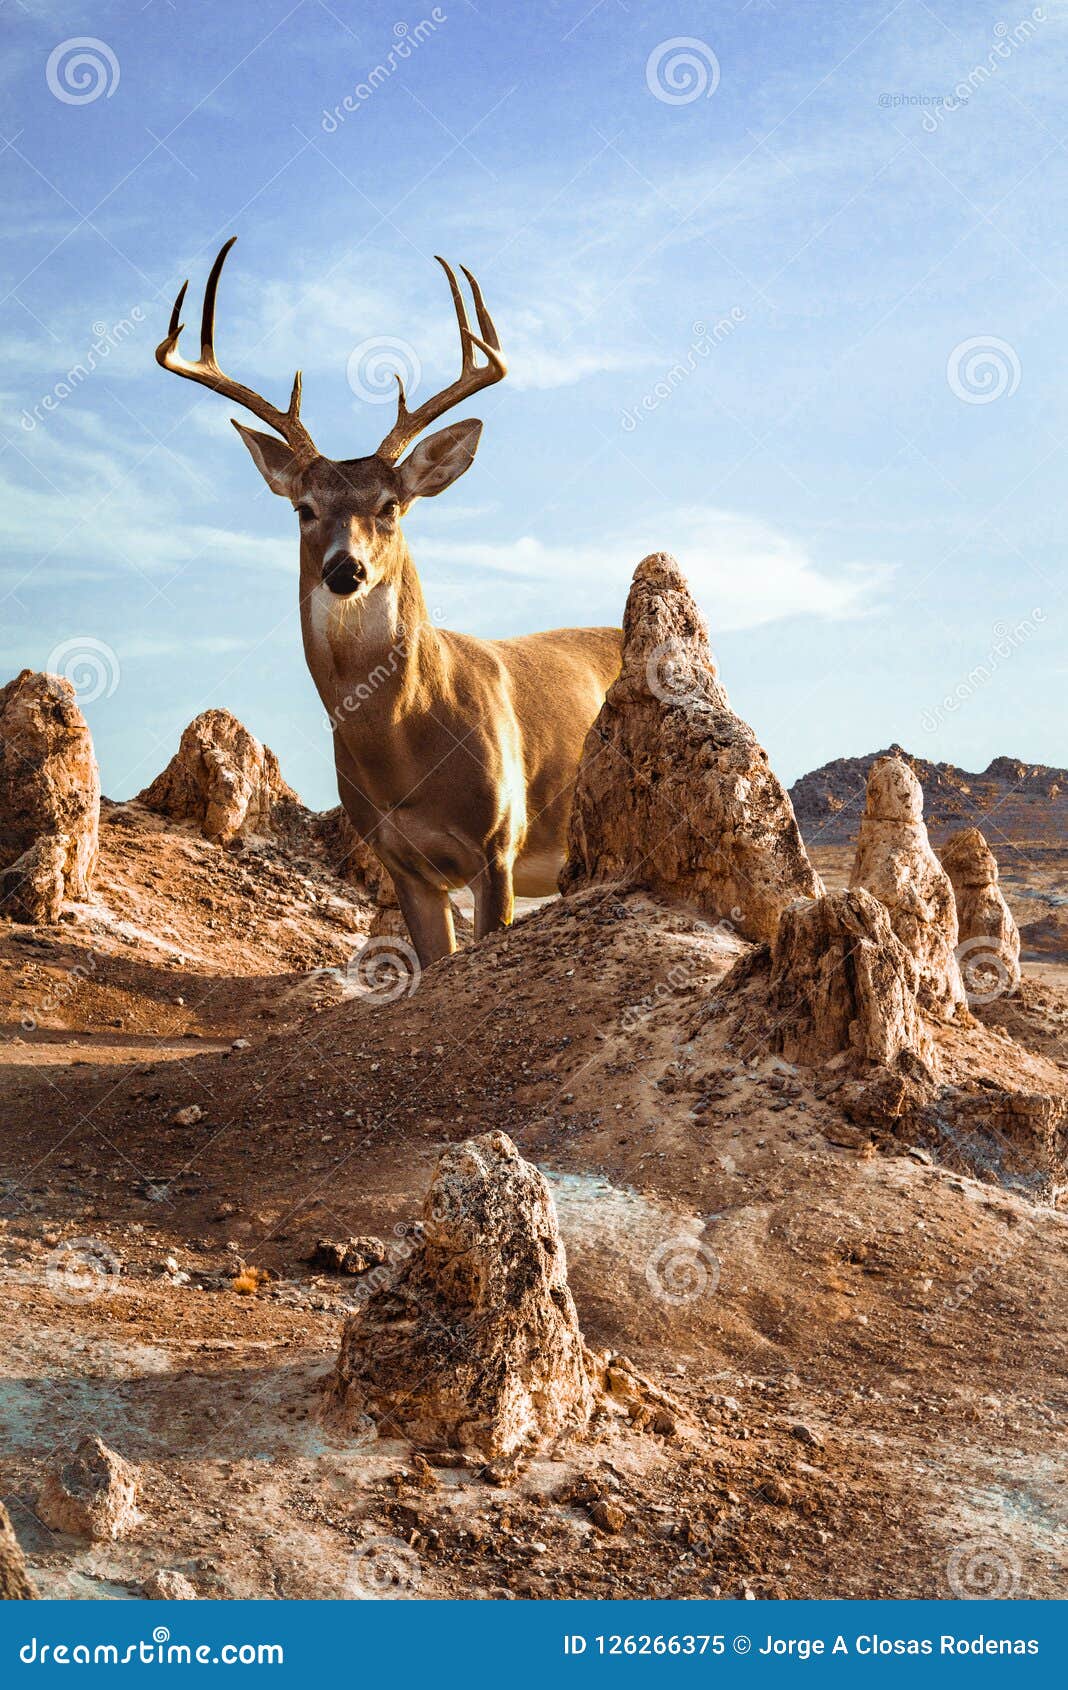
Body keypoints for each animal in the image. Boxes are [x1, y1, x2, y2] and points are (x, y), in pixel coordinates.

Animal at [157, 239, 621, 967]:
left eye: (390, 506)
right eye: (304, 508)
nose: (345, 568)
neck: (405, 742)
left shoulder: (499, 846)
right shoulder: (401, 862)